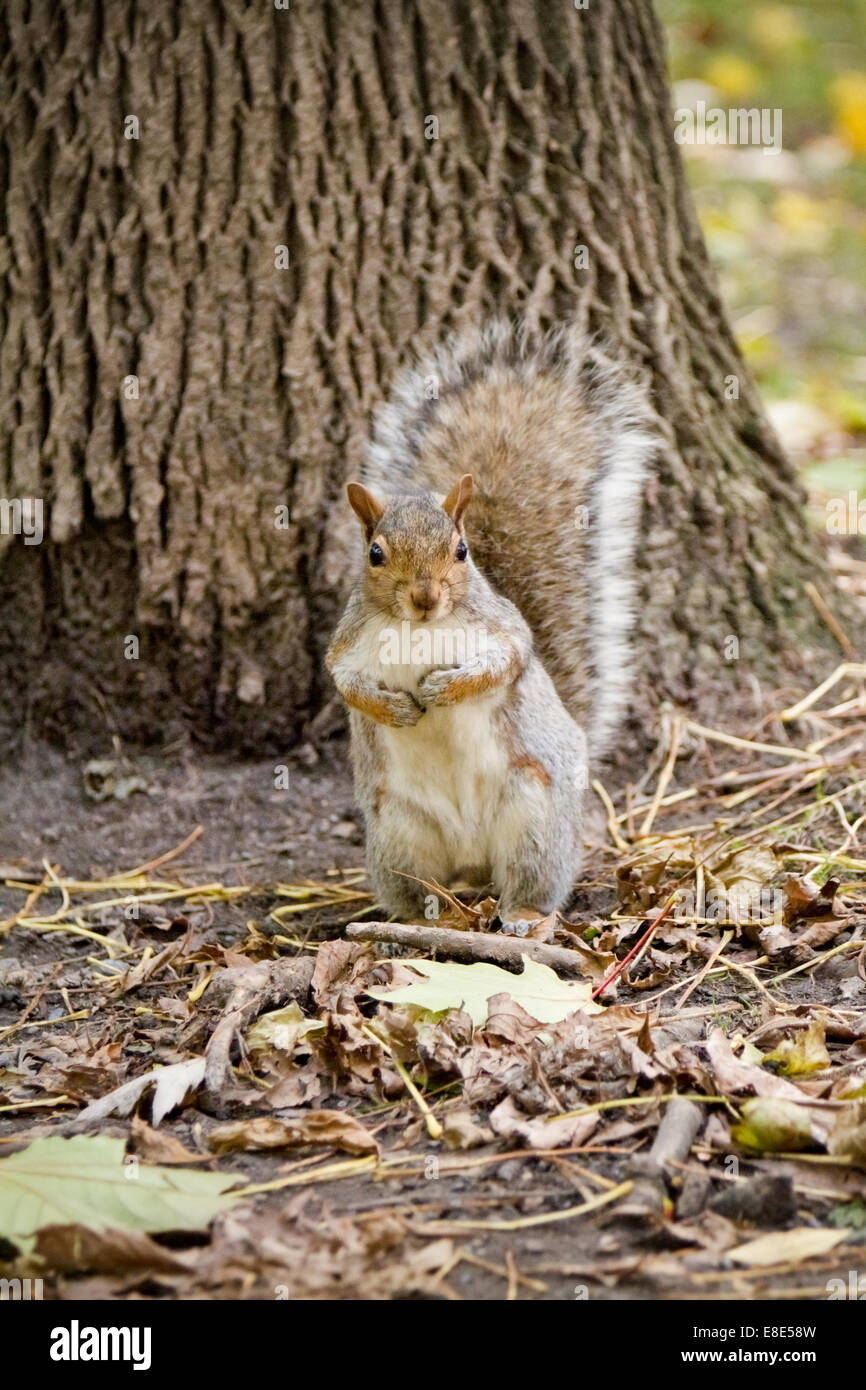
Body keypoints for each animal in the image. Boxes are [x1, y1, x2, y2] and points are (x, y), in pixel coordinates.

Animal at [326, 321, 657, 929]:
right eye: (376, 554)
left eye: (461, 550)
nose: (425, 598)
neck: (420, 629)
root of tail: (473, 860)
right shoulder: (346, 646)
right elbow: (347, 686)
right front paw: (395, 707)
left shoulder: (504, 633)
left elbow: (503, 664)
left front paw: (443, 687)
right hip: (397, 831)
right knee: (421, 889)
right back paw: (417, 922)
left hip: (533, 816)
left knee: (532, 880)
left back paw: (525, 913)